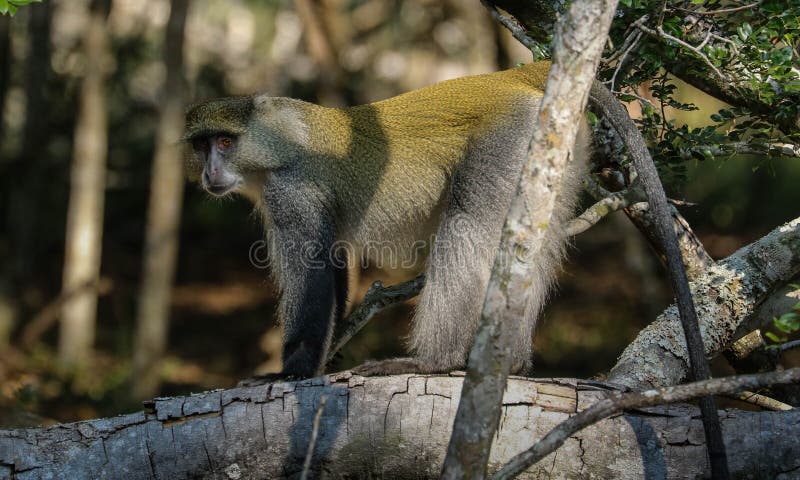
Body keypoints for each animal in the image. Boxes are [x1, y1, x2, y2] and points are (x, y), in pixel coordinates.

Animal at [184, 61, 590, 378]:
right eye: (201, 145)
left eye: (224, 142)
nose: (209, 173)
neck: (279, 143)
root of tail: (505, 79)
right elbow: (335, 267)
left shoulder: (290, 192)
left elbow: (313, 273)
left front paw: (290, 373)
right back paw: (515, 362)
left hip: (506, 142)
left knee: (466, 227)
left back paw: (435, 361)